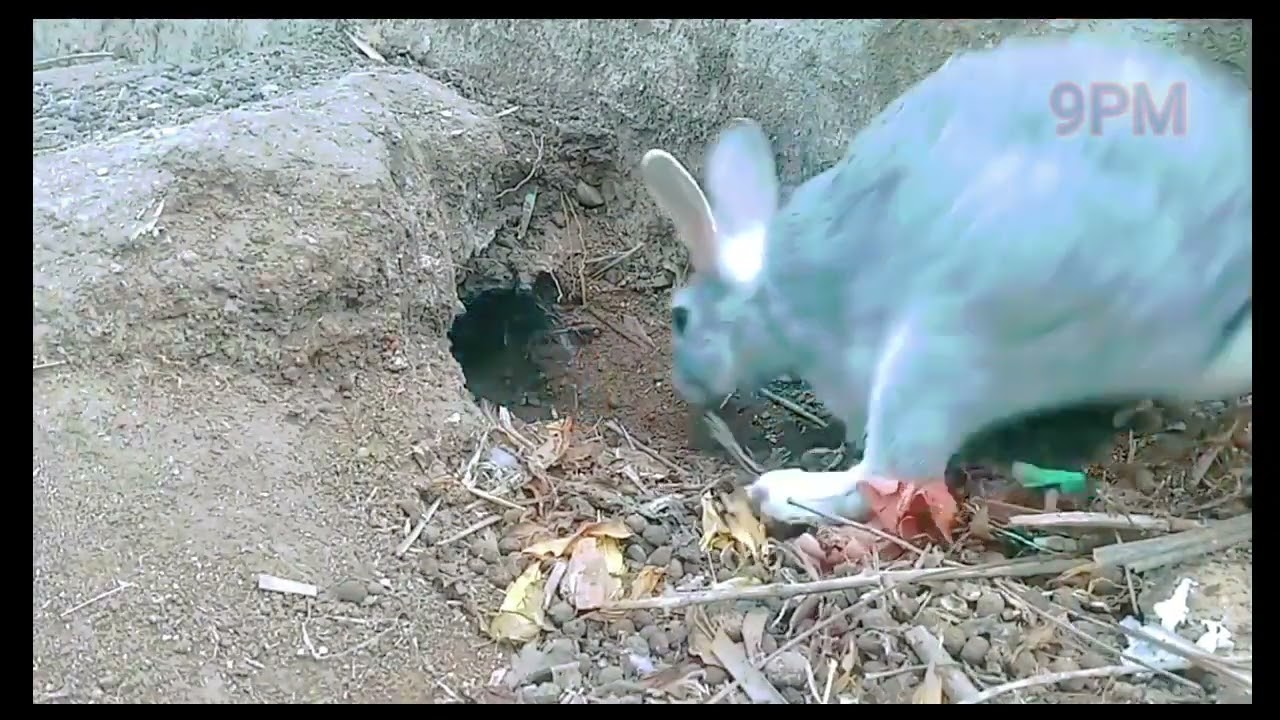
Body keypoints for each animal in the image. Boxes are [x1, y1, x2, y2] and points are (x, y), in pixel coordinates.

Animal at [639, 33, 1251, 529]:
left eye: (680, 317)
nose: (686, 385)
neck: (772, 291)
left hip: (941, 354)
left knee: (888, 477)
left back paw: (781, 492)